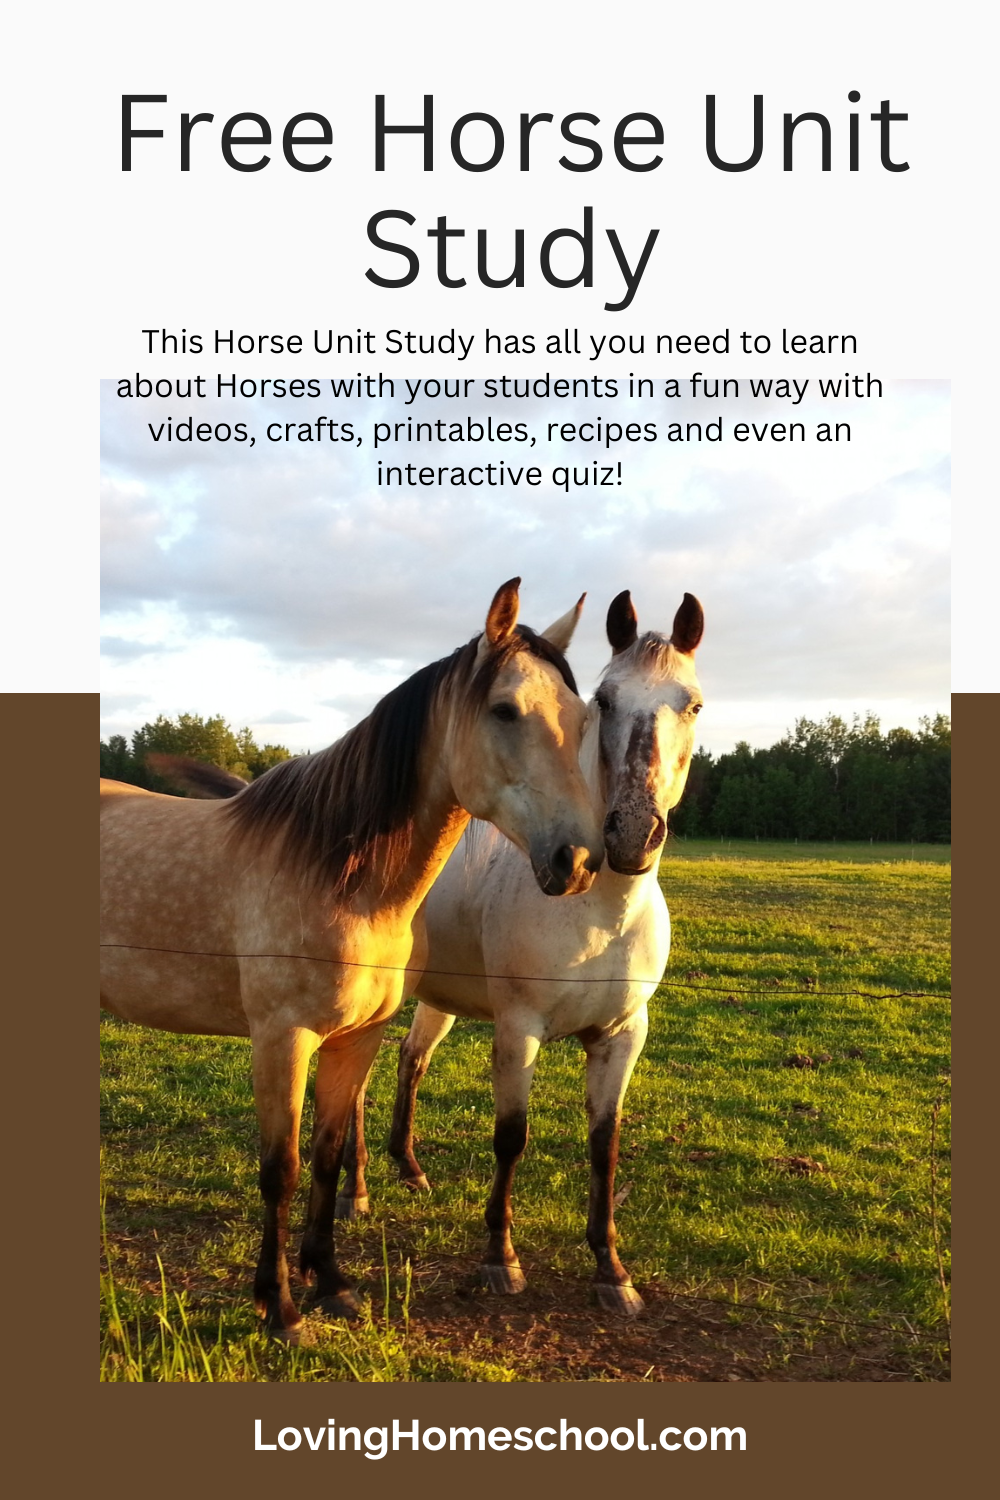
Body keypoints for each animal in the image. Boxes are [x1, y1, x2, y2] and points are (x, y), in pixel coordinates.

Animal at [100, 580, 605, 1341]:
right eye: (505, 709)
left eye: (579, 719)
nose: (575, 861)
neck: (343, 876)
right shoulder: (282, 1039)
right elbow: (279, 1169)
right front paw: (279, 1308)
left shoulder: (356, 1039)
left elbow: (328, 1156)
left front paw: (331, 1282)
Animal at [339, 589, 704, 1316]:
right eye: (604, 700)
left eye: (693, 703)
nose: (630, 833)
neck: (600, 914)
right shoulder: (519, 1030)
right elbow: (511, 1138)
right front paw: (499, 1258)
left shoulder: (623, 1035)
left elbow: (604, 1145)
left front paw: (611, 1270)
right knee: (357, 1083)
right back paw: (357, 1191)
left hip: (436, 1000)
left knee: (411, 1060)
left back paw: (409, 1169)